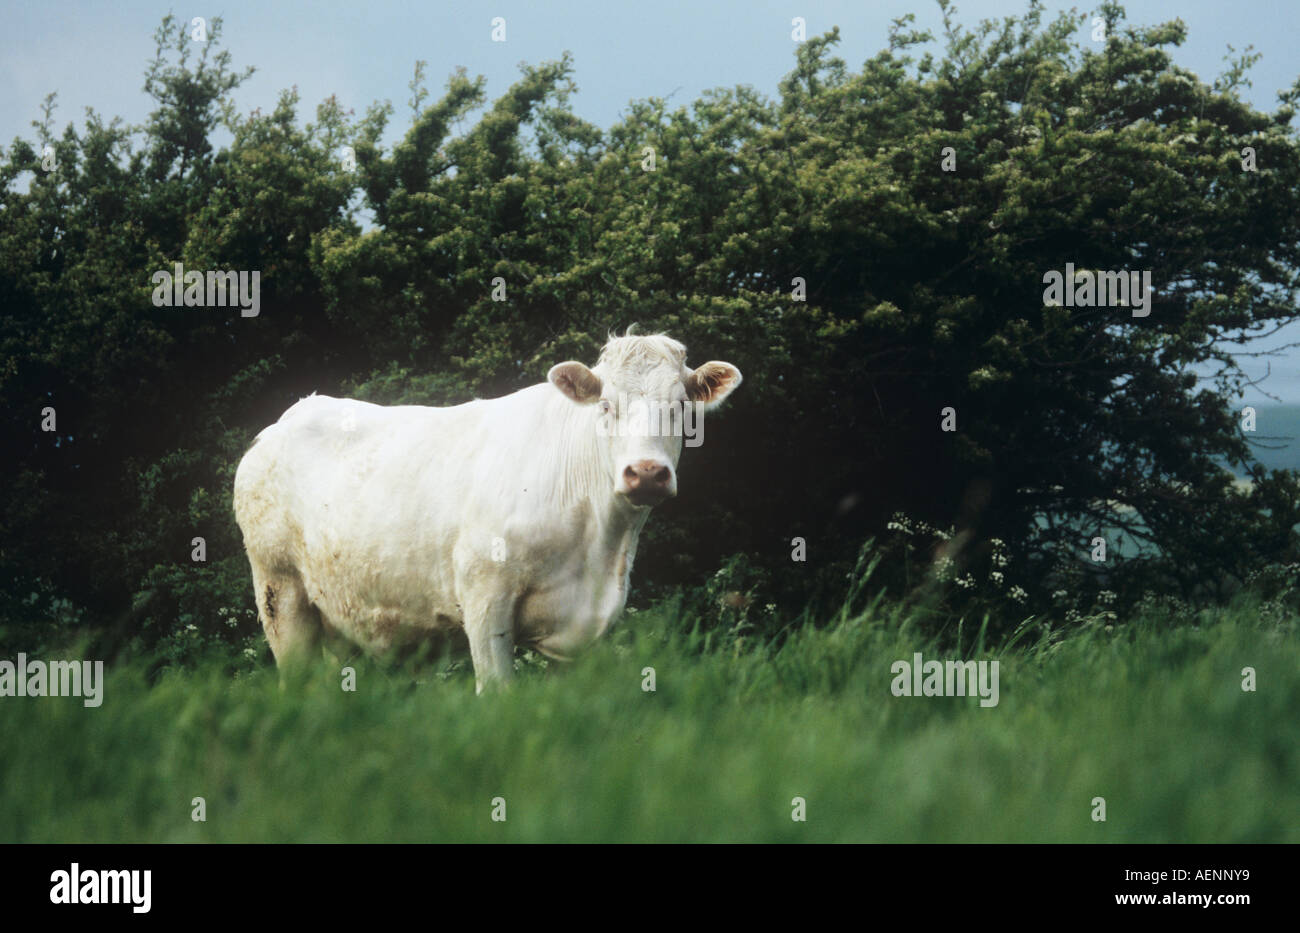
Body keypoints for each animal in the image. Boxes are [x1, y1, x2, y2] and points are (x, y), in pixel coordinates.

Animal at [232, 332, 742, 692]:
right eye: (604, 404)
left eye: (681, 406)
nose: (647, 473)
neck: (600, 545)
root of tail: (292, 414)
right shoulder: (484, 598)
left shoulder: (582, 629)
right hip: (279, 586)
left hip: (337, 608)